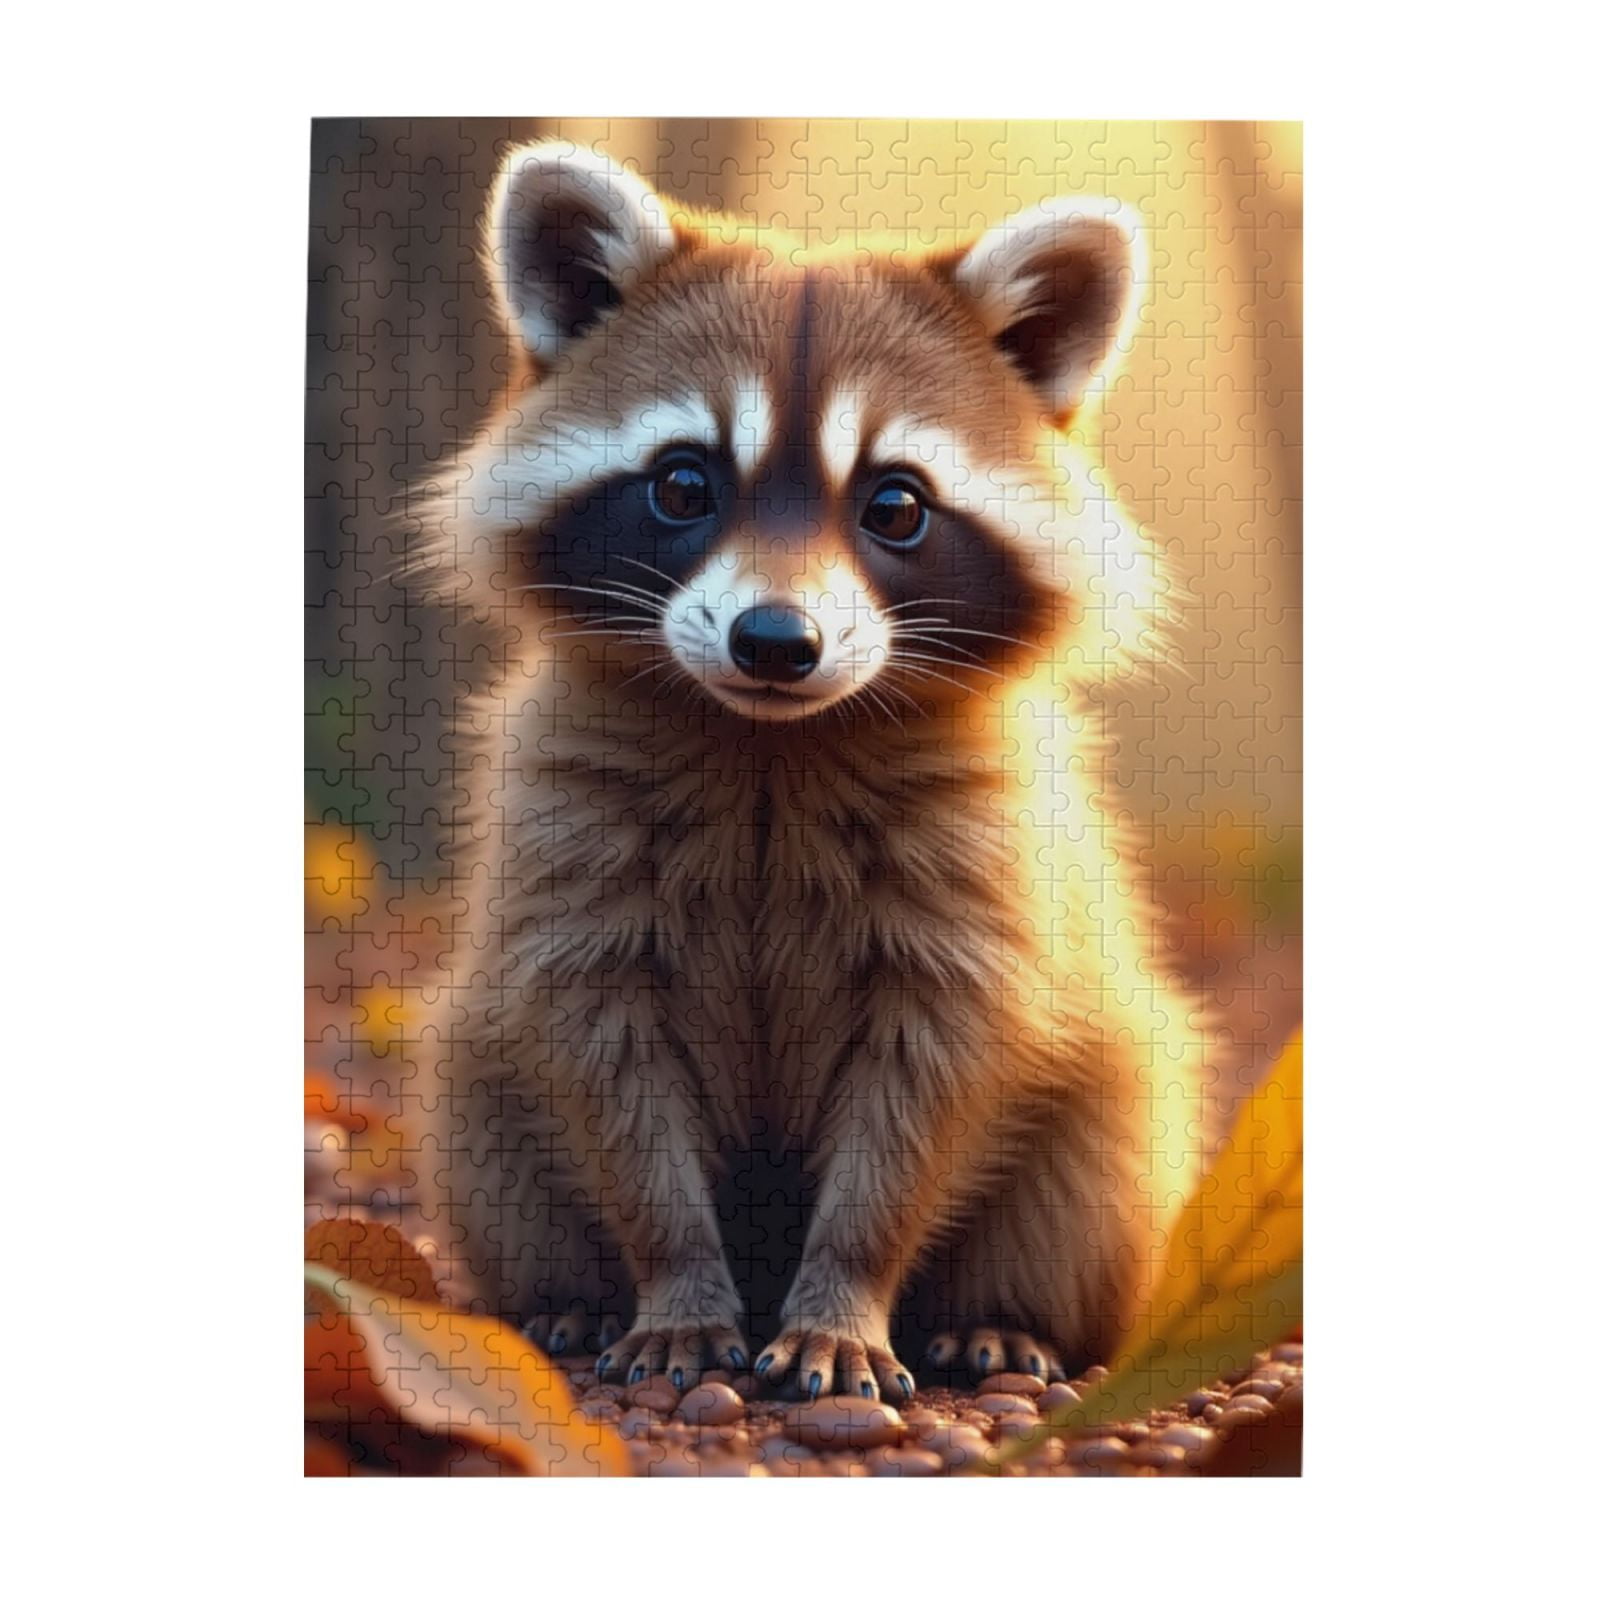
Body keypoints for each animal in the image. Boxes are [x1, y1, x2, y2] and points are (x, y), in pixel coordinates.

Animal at [409, 141, 1211, 1401]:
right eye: (683, 485)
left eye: (895, 504)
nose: (775, 642)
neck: (770, 745)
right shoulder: (562, 827)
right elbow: (604, 1067)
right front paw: (675, 1284)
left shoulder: (983, 865)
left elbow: (930, 1088)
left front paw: (845, 1296)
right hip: (472, 1088)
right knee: (481, 1104)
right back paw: (565, 1299)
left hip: (1115, 1104)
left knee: (1103, 1143)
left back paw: (1004, 1318)